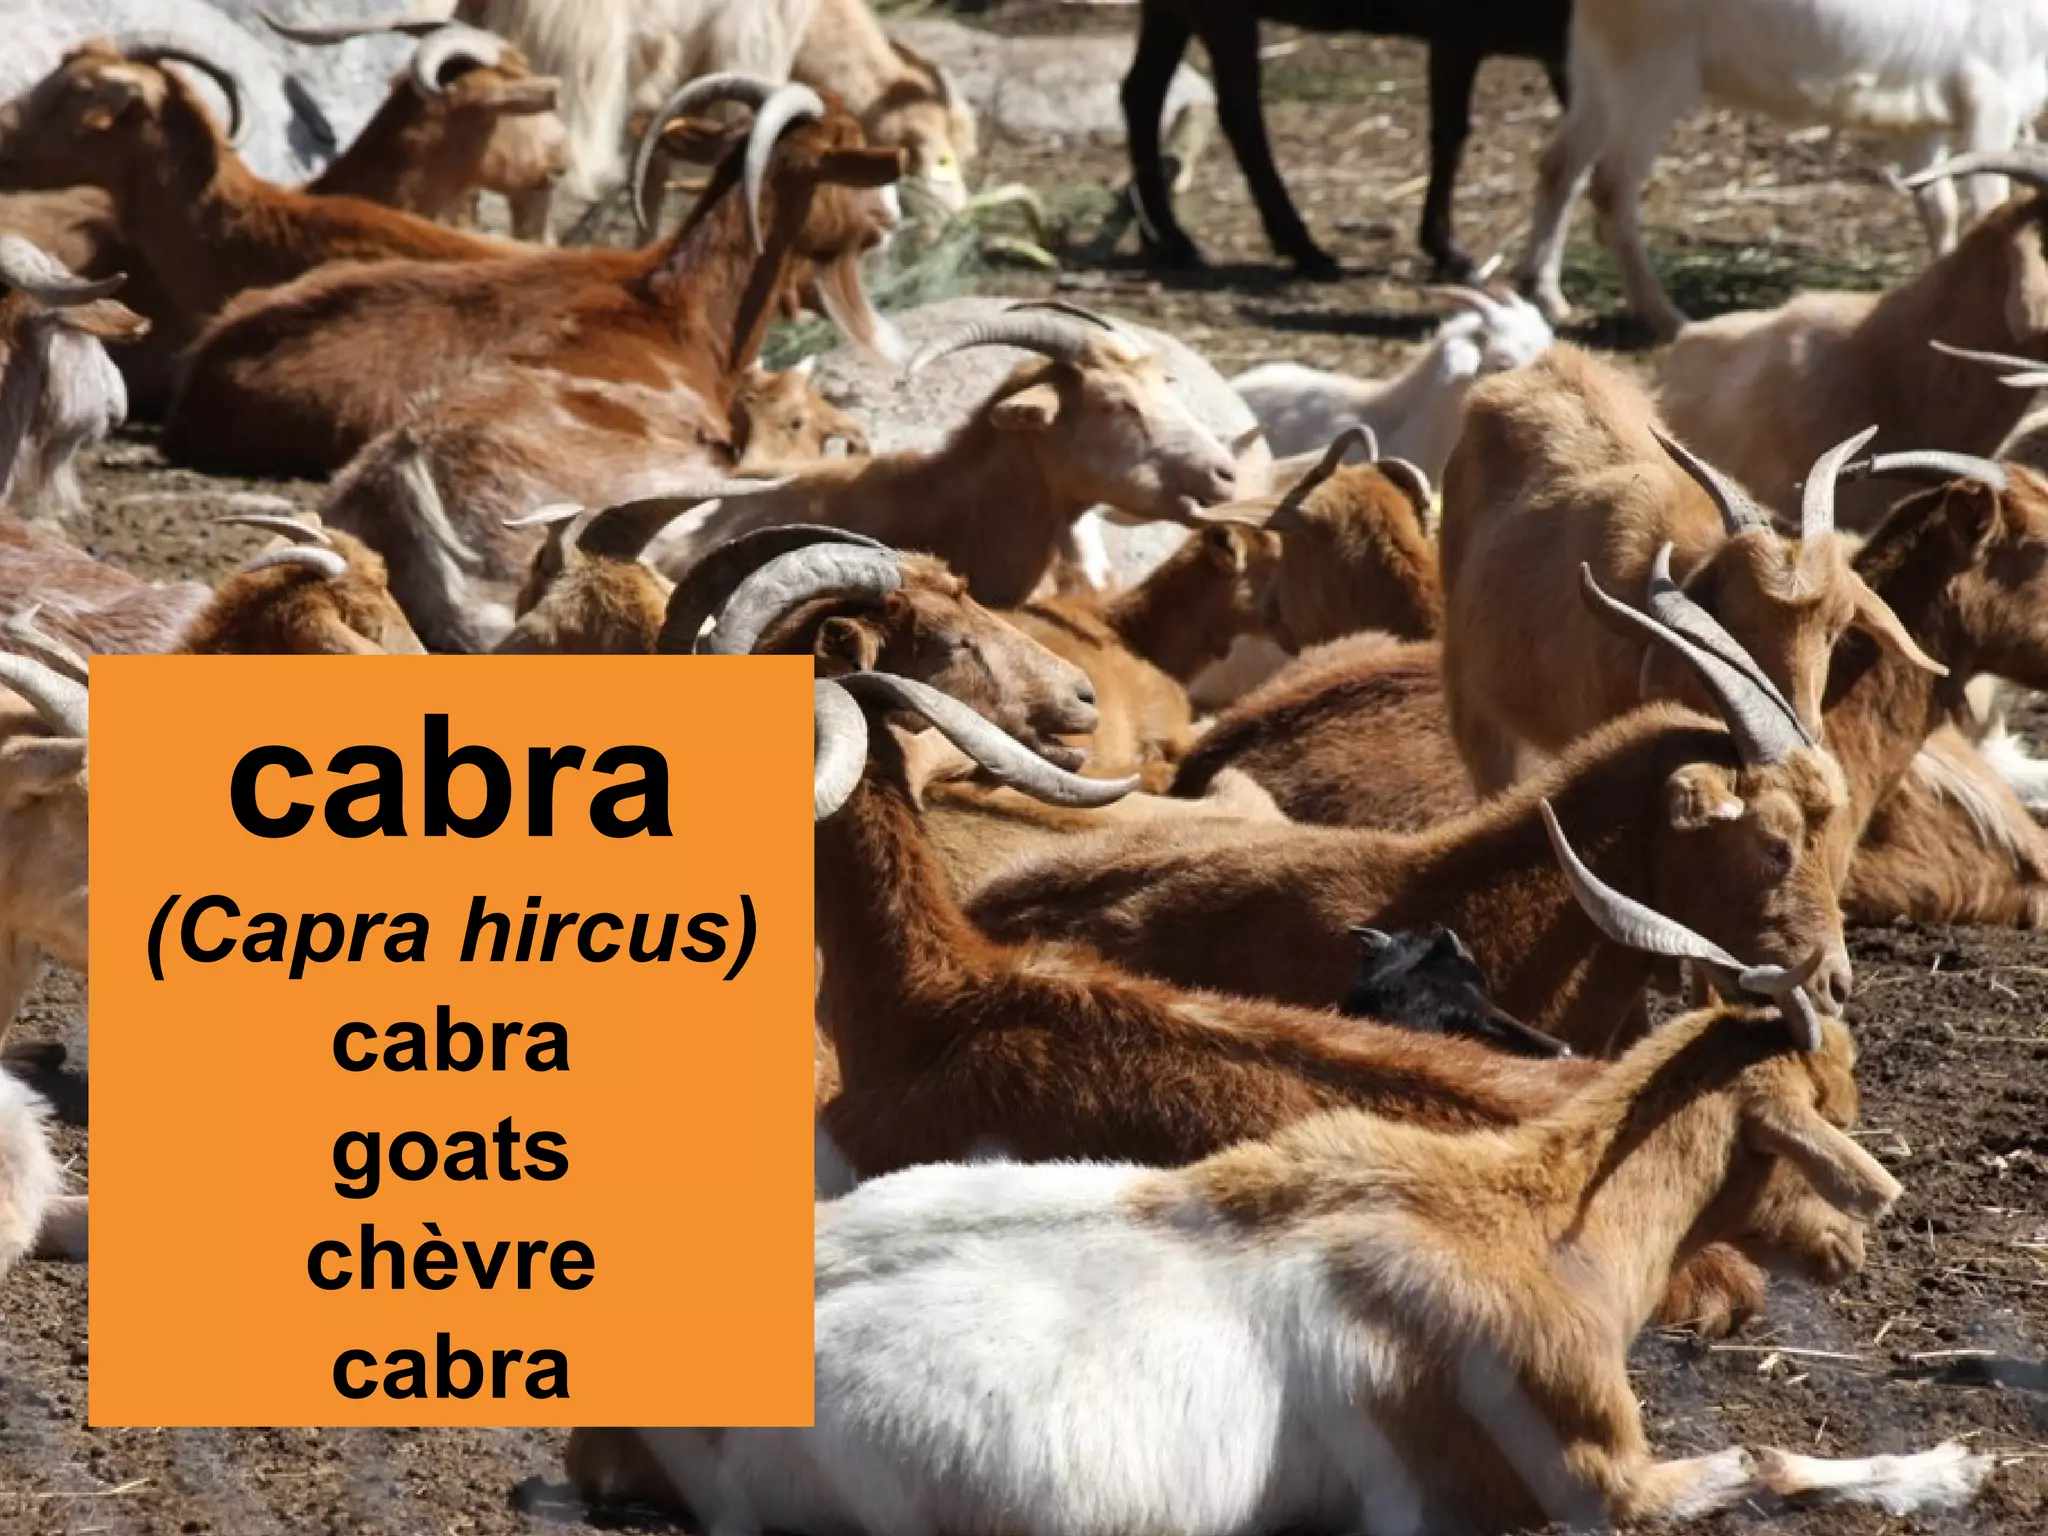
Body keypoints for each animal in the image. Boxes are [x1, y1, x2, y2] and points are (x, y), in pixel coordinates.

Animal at [578, 765, 1986, 1530]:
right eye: (1817, 1105)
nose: (1850, 1248)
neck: (1525, 1219)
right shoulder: (1593, 1475)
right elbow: (1762, 1457)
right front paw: (1953, 1466)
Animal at [1122, 0, 1568, 279]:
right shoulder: (1455, 29)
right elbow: (1450, 134)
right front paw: (1448, 250)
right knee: (1238, 110)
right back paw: (1302, 248)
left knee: (1142, 91)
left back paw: (1165, 237)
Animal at [1515, 0, 2048, 338]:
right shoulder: (1992, 100)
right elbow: (1986, 204)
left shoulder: (1918, 120)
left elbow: (1938, 208)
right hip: (1652, 71)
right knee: (1612, 186)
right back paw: (1667, 318)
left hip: (1597, 64)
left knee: (1560, 165)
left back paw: (1548, 296)